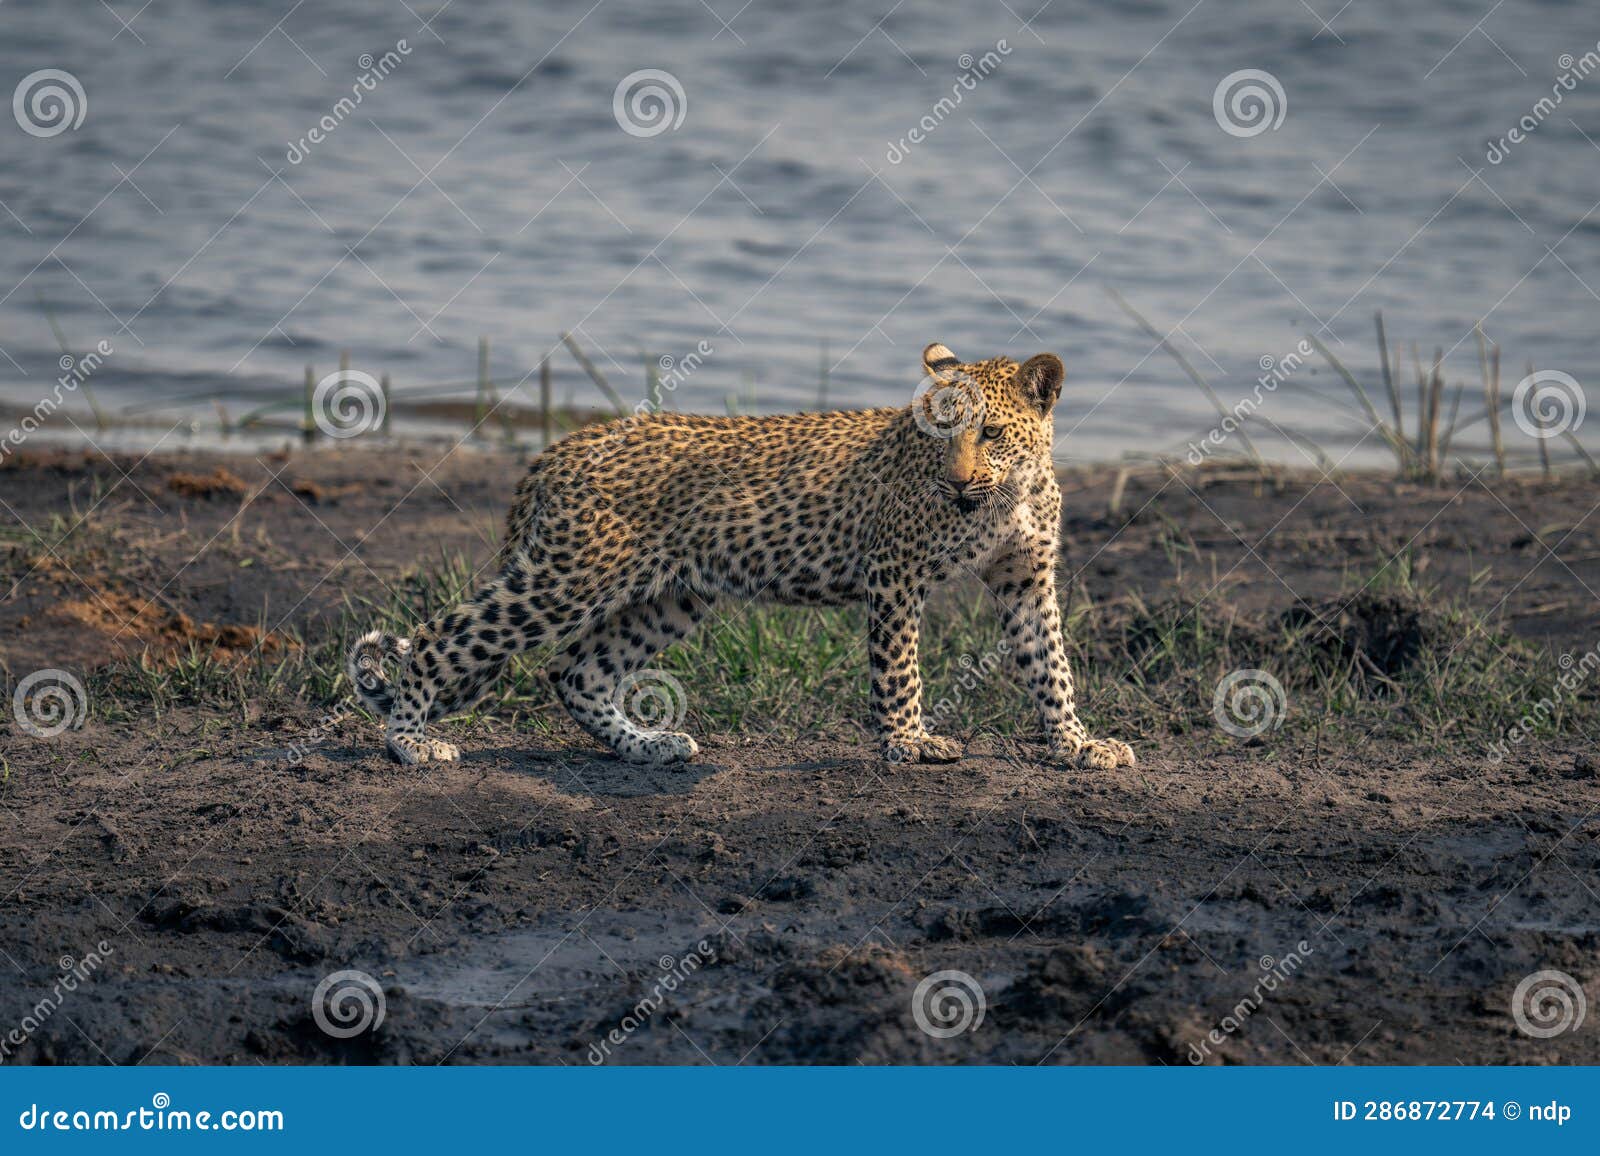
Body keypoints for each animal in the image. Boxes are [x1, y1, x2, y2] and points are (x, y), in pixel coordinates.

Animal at [347, 342, 1135, 772]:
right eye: (939, 432)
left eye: (991, 432)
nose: (956, 480)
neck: (1010, 493)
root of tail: (563, 445)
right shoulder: (895, 573)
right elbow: (900, 670)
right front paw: (908, 742)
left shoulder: (1025, 579)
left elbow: (1051, 665)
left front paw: (1078, 745)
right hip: (567, 579)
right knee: (439, 637)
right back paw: (411, 743)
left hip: (669, 596)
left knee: (575, 671)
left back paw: (647, 746)